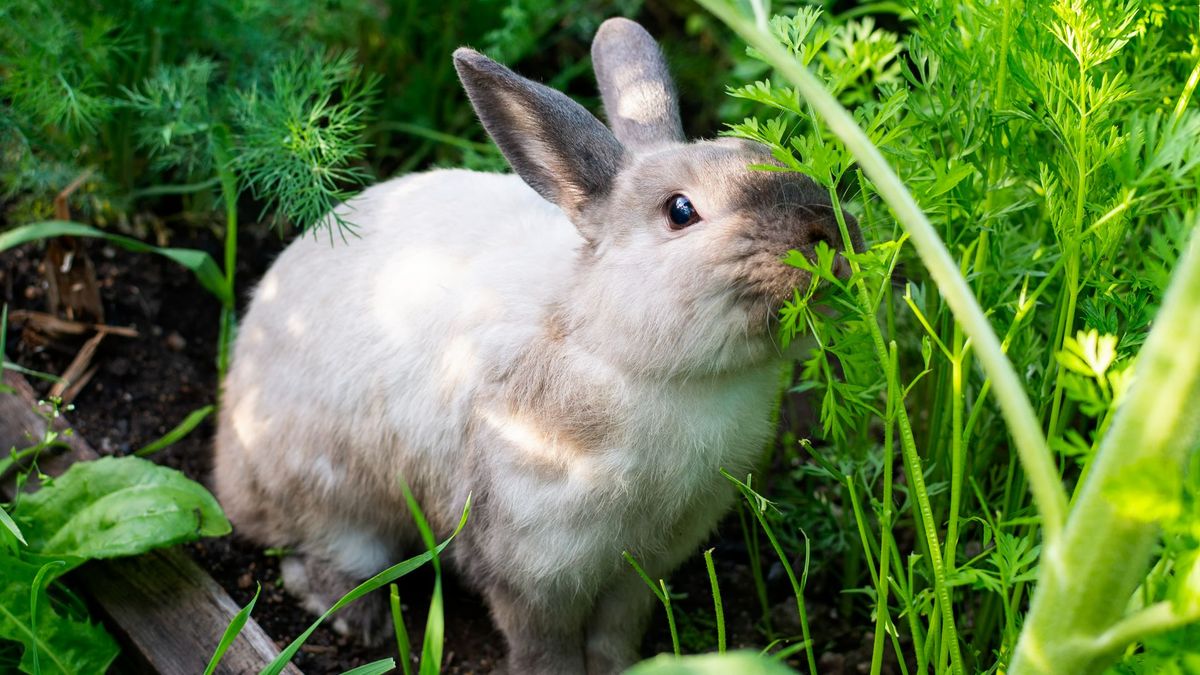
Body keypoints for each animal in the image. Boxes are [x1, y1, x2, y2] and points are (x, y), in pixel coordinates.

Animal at [213, 16, 861, 675]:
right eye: (681, 211)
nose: (829, 232)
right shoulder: (535, 565)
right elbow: (541, 641)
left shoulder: (643, 566)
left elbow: (616, 630)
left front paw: (618, 668)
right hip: (337, 507)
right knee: (317, 561)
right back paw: (357, 619)